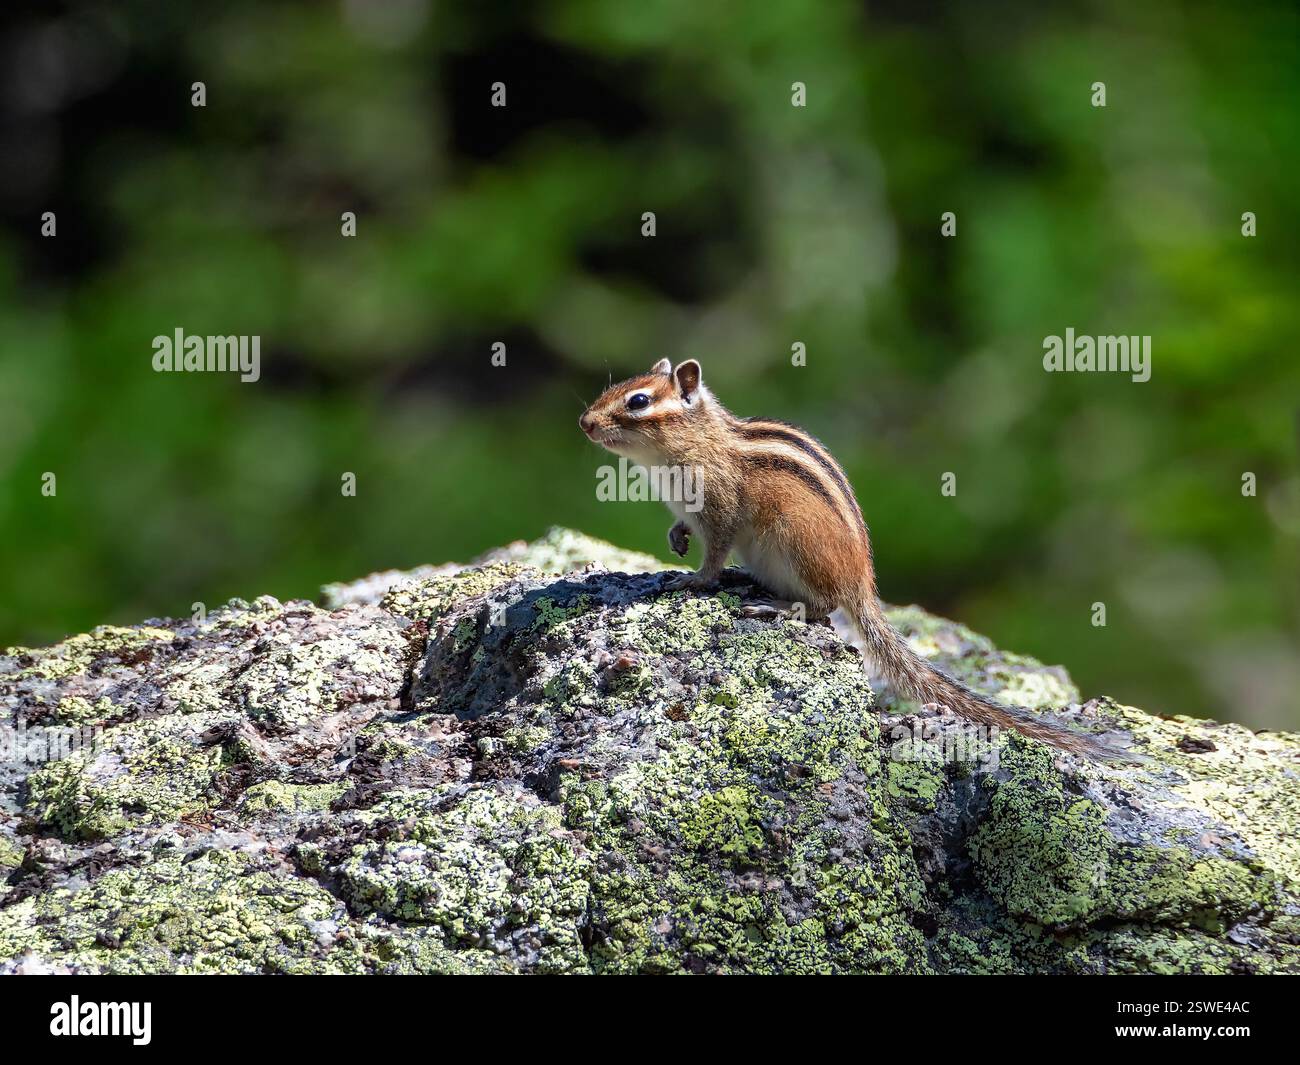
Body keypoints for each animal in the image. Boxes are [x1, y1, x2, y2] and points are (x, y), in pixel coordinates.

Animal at [580, 357, 1134, 760]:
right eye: (621, 387)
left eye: (638, 401)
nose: (584, 422)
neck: (686, 451)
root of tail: (864, 586)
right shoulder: (690, 510)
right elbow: (685, 530)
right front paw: (676, 542)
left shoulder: (720, 512)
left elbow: (714, 555)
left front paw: (693, 581)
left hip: (796, 545)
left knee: (824, 607)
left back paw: (777, 608)